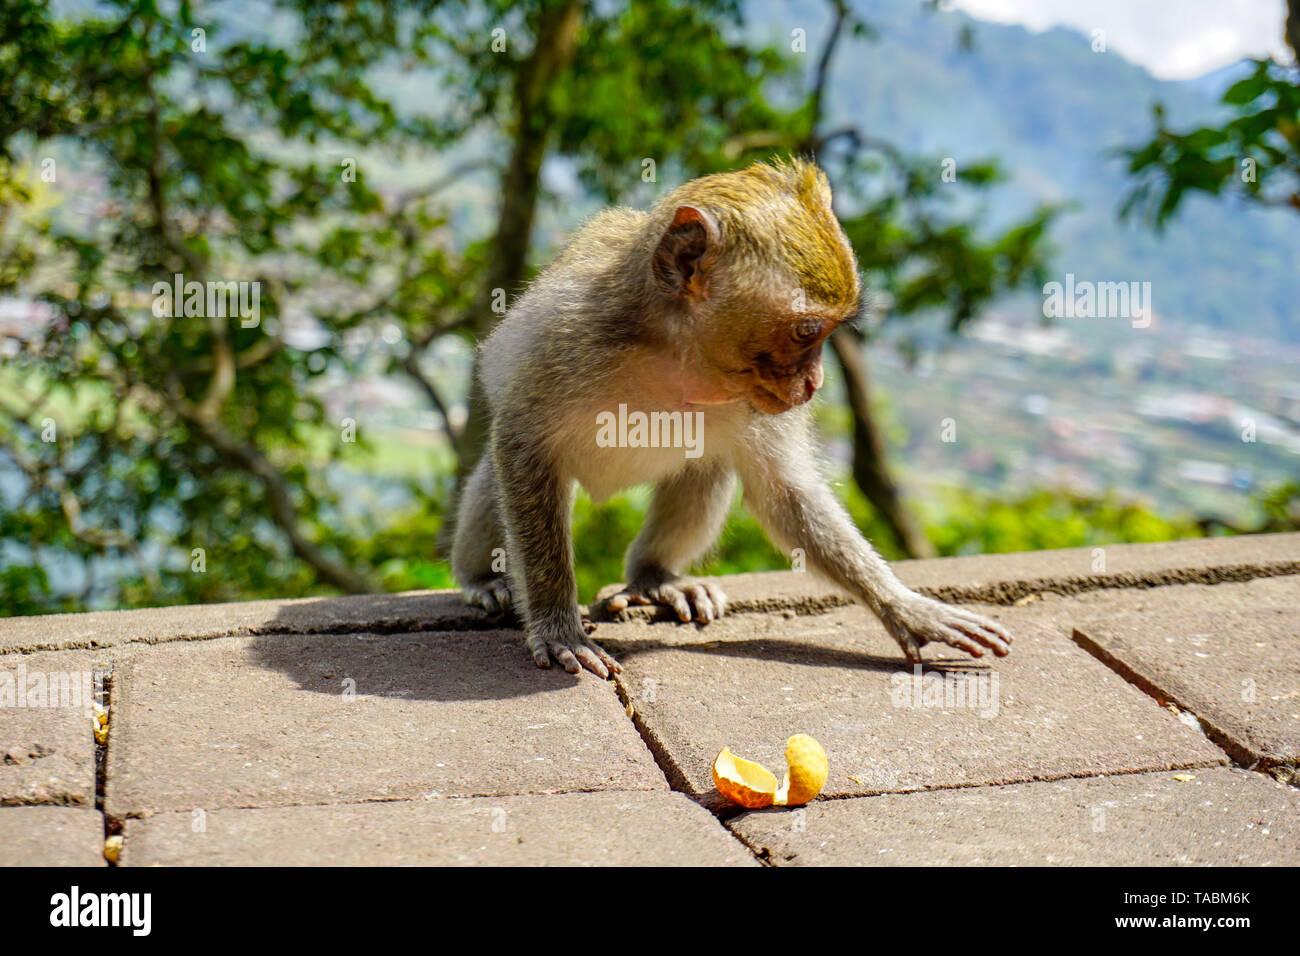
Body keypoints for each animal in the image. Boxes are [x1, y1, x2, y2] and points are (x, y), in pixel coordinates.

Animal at [450, 157, 1013, 678]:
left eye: (827, 333)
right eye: (807, 331)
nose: (816, 384)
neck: (675, 353)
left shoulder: (759, 402)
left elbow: (785, 493)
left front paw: (907, 608)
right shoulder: (562, 339)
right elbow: (524, 451)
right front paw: (558, 626)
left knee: (707, 470)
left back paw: (656, 578)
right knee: (494, 481)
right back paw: (483, 580)